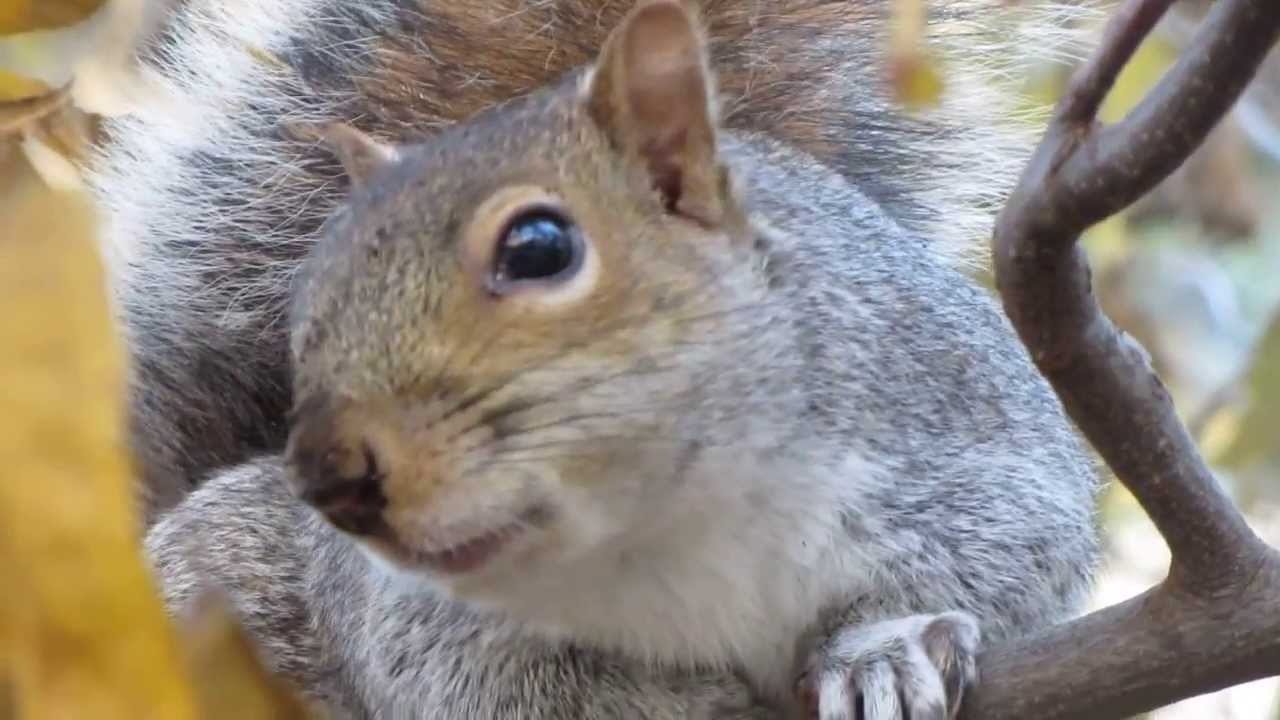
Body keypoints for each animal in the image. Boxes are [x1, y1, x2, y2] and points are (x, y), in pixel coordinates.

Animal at [98, 0, 1101, 718]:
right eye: (308, 296)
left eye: (539, 250)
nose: (337, 473)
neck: (664, 516)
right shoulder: (425, 611)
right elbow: (475, 686)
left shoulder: (955, 425)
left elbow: (1014, 546)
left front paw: (879, 650)